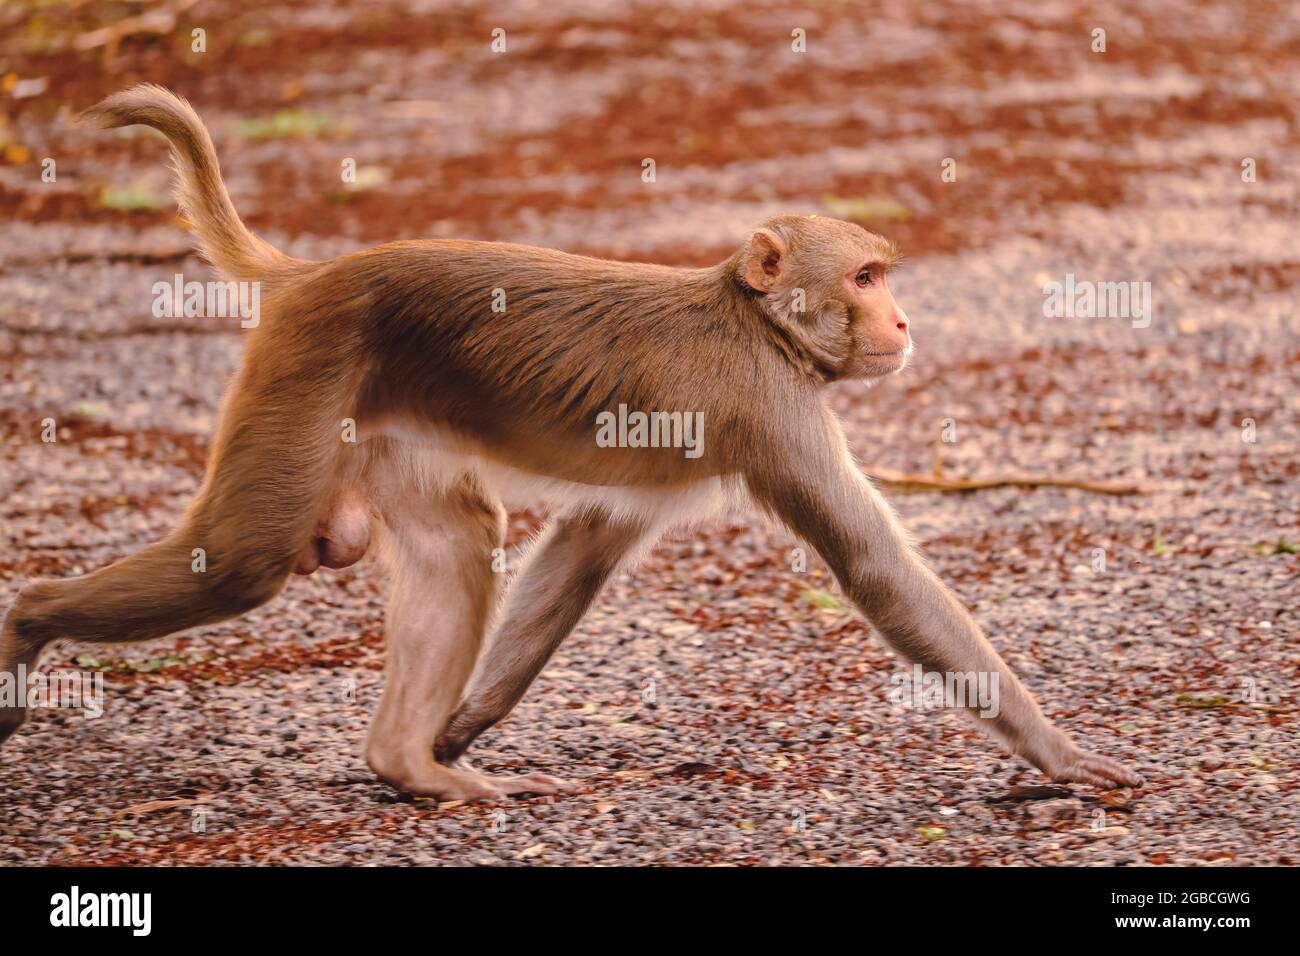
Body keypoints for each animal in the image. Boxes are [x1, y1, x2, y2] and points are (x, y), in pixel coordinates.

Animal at [0, 86, 1142, 800]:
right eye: (866, 278)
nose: (902, 320)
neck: (761, 322)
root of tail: (309, 273)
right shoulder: (773, 409)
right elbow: (873, 567)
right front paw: (1058, 752)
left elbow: (583, 548)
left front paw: (464, 719)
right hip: (305, 371)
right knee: (239, 561)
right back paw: (28, 622)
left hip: (375, 411)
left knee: (460, 539)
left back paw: (412, 764)